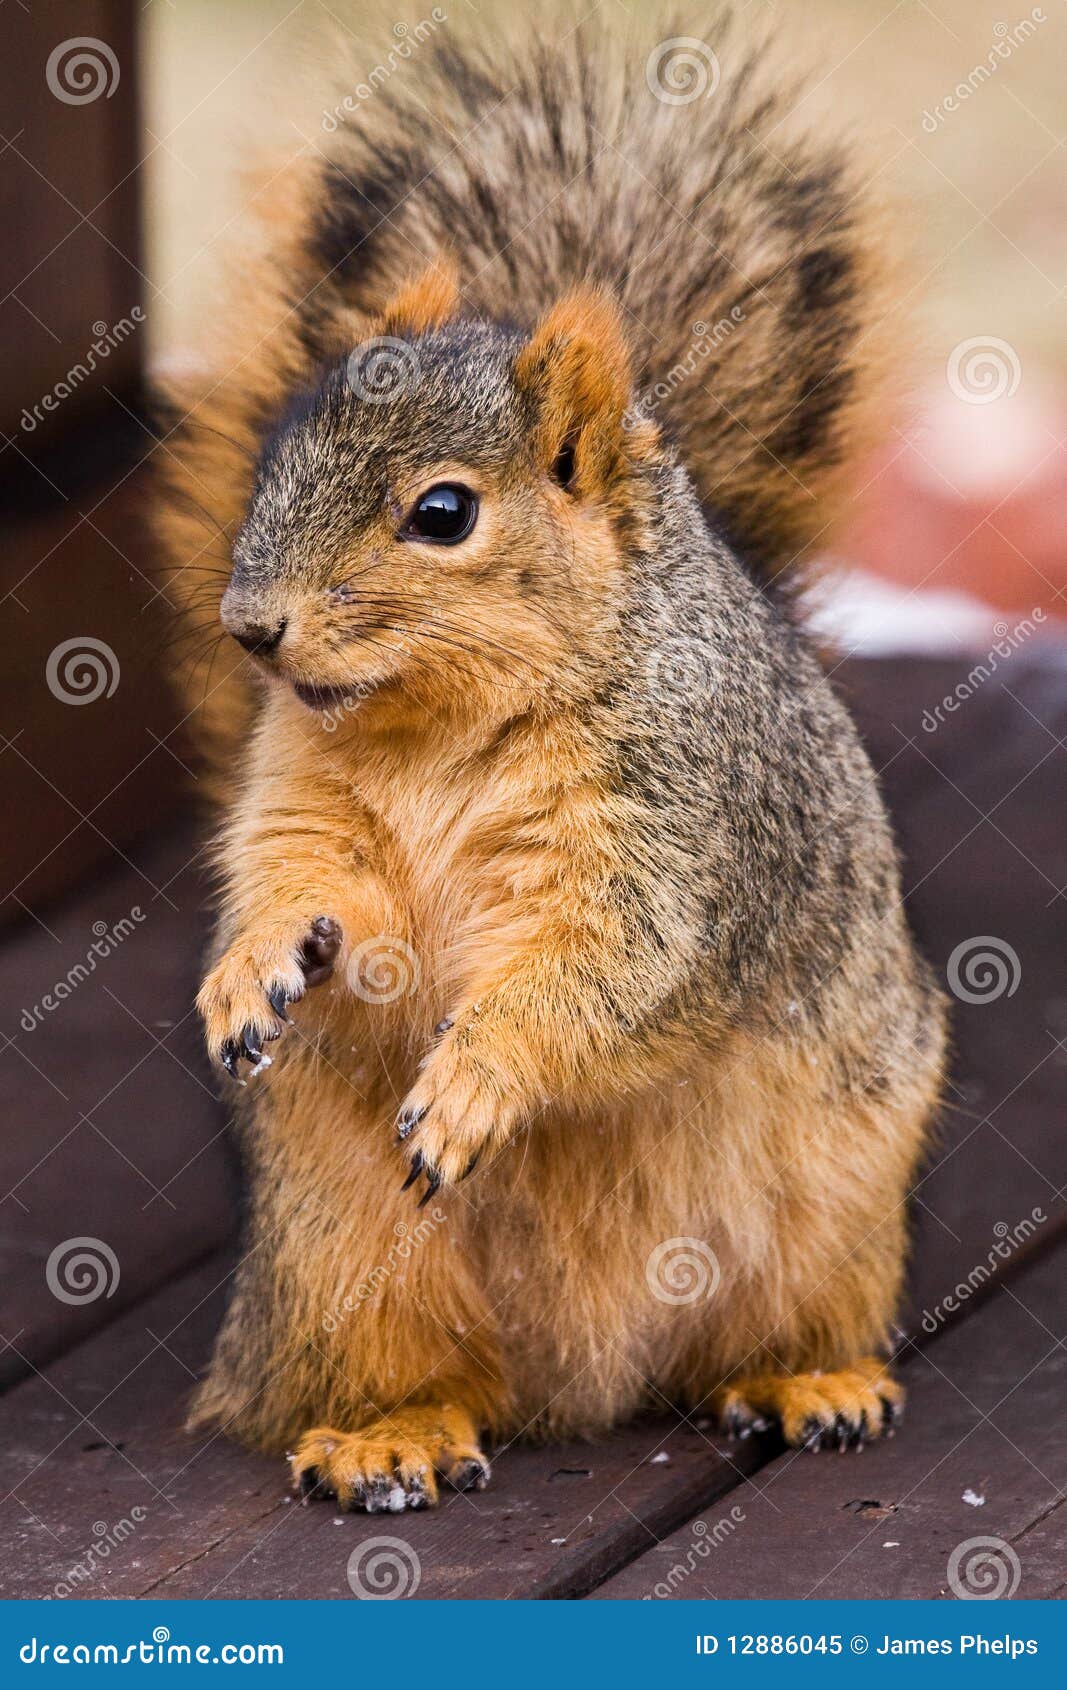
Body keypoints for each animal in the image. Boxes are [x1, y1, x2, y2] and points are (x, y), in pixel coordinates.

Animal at [159, 6, 946, 1511]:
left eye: (442, 513)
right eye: (277, 453)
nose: (249, 628)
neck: (432, 731)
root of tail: (584, 1379)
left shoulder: (671, 834)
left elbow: (604, 969)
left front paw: (478, 1075)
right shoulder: (306, 799)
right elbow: (301, 880)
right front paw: (249, 969)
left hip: (834, 1198)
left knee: (758, 1335)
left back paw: (808, 1379)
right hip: (342, 1258)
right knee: (418, 1374)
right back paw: (389, 1434)